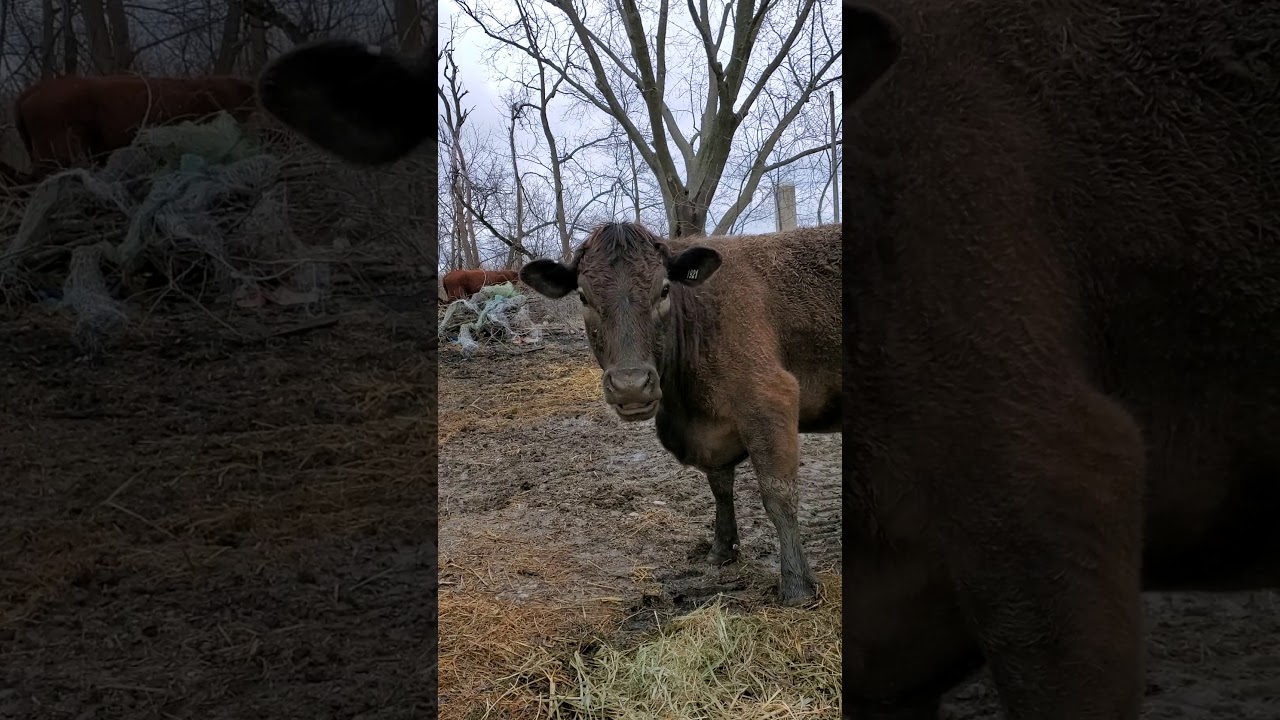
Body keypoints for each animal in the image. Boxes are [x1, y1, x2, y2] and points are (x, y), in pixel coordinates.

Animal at [521, 222, 841, 605]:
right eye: (583, 296)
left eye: (663, 290)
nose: (631, 386)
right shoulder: (714, 432)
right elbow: (720, 487)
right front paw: (721, 550)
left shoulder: (770, 400)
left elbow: (778, 494)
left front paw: (796, 586)